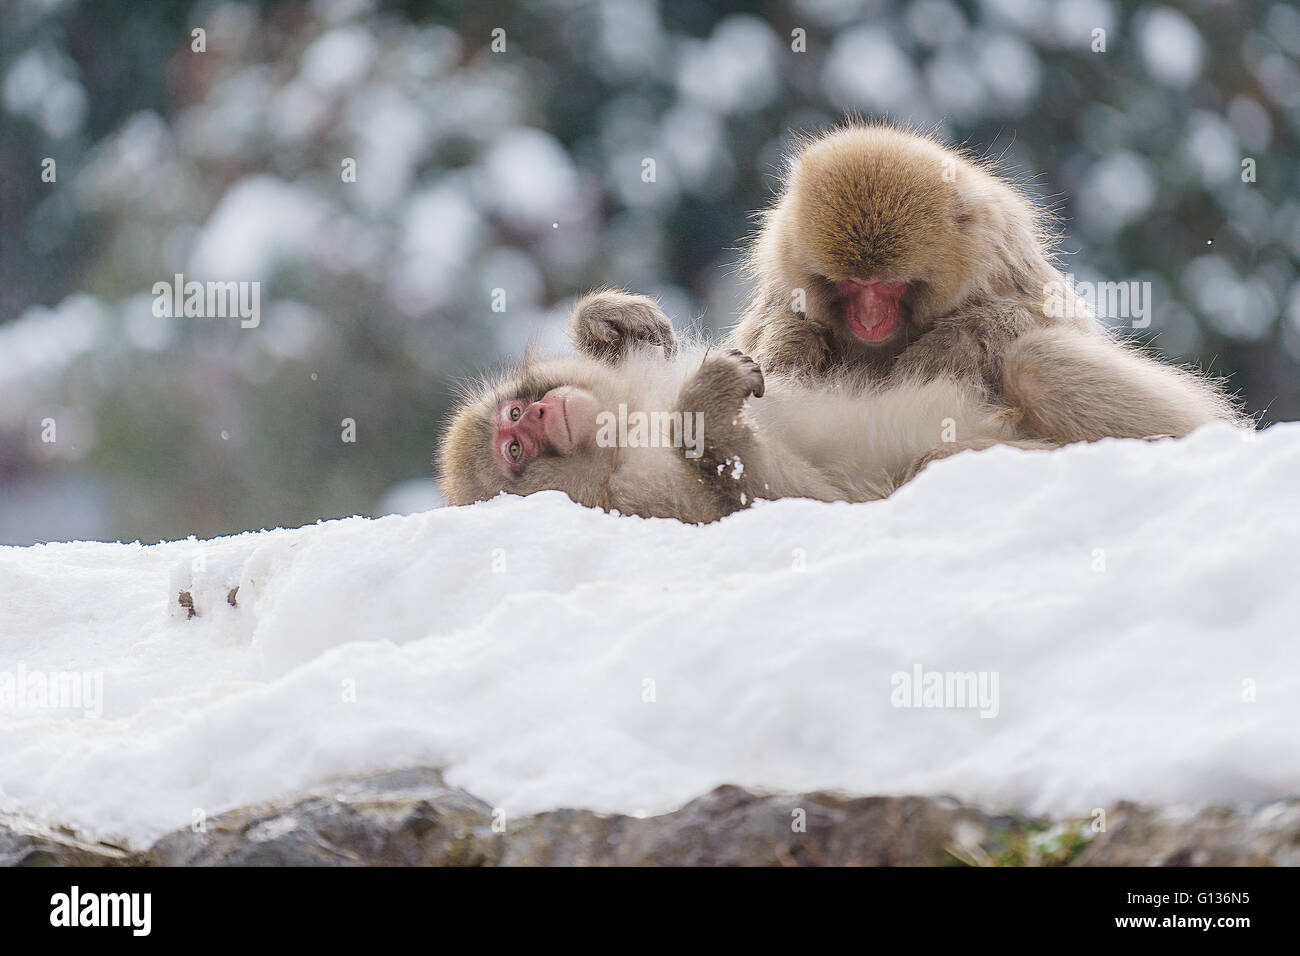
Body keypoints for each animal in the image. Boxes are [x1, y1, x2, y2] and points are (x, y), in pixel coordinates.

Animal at [438, 290, 1042, 523]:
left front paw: (609, 320)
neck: (622, 432)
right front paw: (706, 406)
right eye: (516, 451)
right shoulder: (641, 497)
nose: (542, 415)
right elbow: (816, 499)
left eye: (515, 417)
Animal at [729, 121, 1244, 444]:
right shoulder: (783, 273)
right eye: (853, 282)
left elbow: (1046, 321)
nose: (870, 320)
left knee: (1035, 361)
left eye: (892, 286)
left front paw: (948, 347)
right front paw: (792, 344)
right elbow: (771, 338)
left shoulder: (1003, 253)